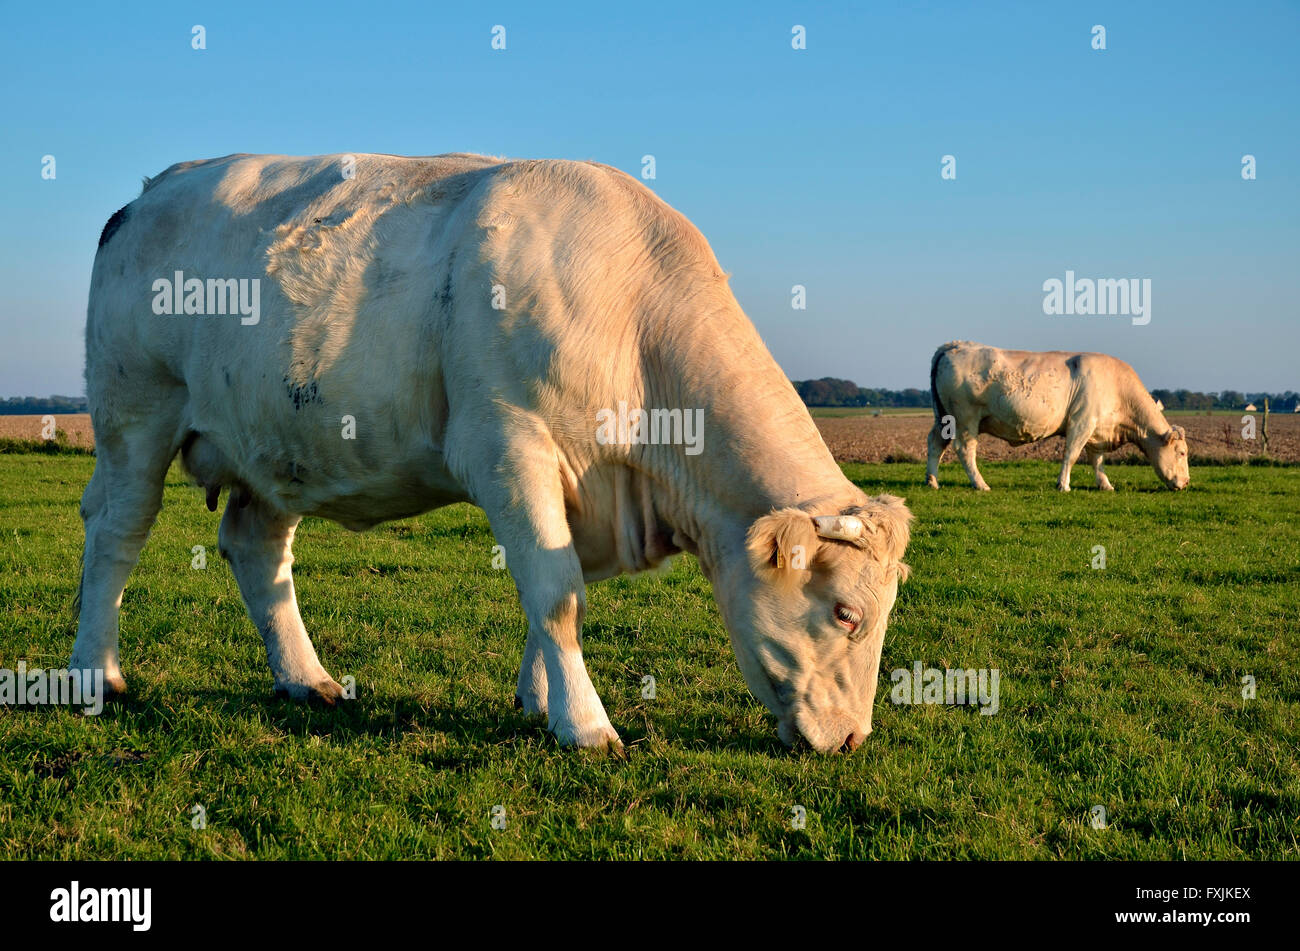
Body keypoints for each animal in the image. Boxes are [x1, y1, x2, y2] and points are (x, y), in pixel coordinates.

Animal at [71, 153, 913, 753]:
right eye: (846, 613)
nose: (852, 739)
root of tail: (150, 192)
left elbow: (558, 591)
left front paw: (538, 698)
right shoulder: (510, 448)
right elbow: (559, 595)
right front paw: (587, 726)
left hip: (275, 439)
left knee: (256, 549)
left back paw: (306, 679)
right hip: (134, 414)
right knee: (115, 536)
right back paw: (95, 674)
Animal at [925, 341, 1190, 492]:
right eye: (1182, 453)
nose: (1187, 482)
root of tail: (957, 345)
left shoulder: (1096, 430)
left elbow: (1097, 460)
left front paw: (1105, 485)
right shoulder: (1082, 422)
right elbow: (1071, 455)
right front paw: (1063, 485)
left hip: (944, 419)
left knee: (935, 443)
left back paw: (932, 481)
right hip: (965, 418)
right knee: (965, 450)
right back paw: (980, 484)